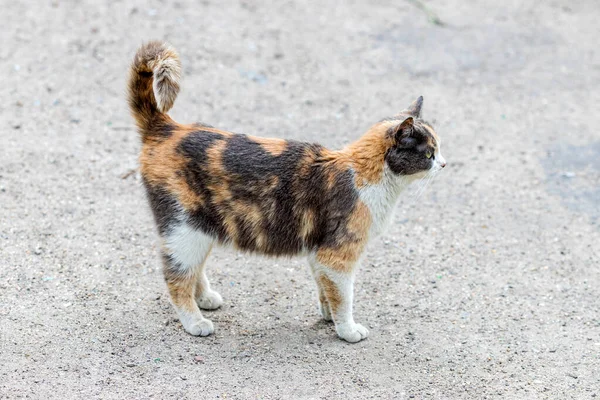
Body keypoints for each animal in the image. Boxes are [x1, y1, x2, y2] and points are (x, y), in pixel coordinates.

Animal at [126, 41, 446, 344]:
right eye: (429, 153)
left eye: (438, 150)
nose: (444, 163)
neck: (363, 174)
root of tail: (166, 127)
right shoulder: (338, 255)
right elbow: (344, 296)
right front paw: (347, 329)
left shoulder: (319, 252)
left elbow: (325, 288)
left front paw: (328, 315)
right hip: (184, 229)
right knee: (176, 276)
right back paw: (194, 321)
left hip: (203, 229)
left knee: (194, 268)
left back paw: (204, 298)